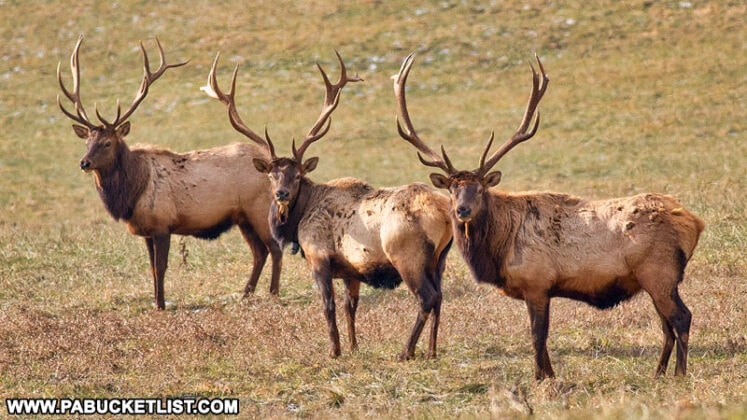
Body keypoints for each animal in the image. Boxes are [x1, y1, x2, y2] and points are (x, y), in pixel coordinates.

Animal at [57, 35, 284, 310]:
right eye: (87, 141)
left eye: (107, 142)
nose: (84, 163)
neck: (131, 193)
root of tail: (270, 163)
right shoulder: (145, 230)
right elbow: (152, 269)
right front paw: (156, 302)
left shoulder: (161, 224)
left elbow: (161, 267)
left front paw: (162, 304)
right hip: (242, 218)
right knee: (259, 252)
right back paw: (246, 293)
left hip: (259, 209)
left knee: (274, 248)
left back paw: (273, 293)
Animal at [204, 51, 454, 360]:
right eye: (272, 175)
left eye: (298, 175)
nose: (282, 194)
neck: (300, 217)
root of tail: (444, 213)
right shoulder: (351, 271)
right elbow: (350, 307)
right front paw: (355, 347)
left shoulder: (318, 257)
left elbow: (328, 306)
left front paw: (334, 350)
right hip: (440, 260)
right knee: (440, 297)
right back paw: (431, 350)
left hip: (409, 257)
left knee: (427, 298)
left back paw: (406, 351)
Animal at [393, 52, 705, 379]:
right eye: (452, 190)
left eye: (479, 189)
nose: (462, 210)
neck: (499, 250)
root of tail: (695, 223)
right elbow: (540, 336)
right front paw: (548, 373)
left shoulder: (537, 282)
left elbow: (537, 335)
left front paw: (541, 376)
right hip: (655, 279)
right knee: (666, 325)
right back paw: (658, 372)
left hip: (660, 273)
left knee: (682, 317)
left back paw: (680, 373)